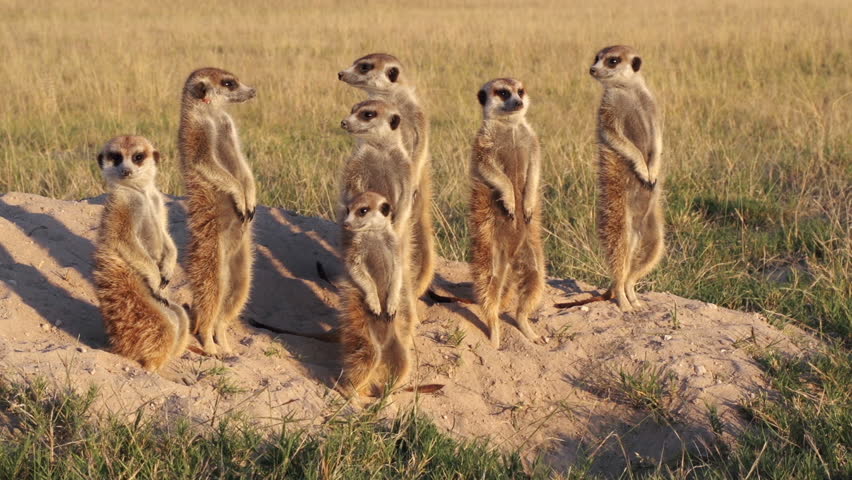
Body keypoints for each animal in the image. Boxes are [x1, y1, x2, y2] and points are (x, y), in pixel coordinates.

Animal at [92, 135, 190, 371]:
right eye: (116, 157)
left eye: (137, 156)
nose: (126, 170)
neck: (140, 192)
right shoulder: (121, 205)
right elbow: (124, 240)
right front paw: (155, 276)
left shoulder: (158, 201)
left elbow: (165, 234)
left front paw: (168, 267)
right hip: (134, 303)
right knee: (162, 329)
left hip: (171, 309)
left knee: (181, 316)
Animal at [178, 67, 257, 356]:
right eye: (228, 83)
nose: (253, 91)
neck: (212, 115)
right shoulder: (195, 134)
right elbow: (206, 163)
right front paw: (239, 195)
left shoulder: (229, 128)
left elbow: (244, 167)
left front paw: (250, 198)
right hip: (211, 257)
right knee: (210, 299)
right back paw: (210, 345)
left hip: (243, 268)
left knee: (235, 296)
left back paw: (224, 342)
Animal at [469, 78, 545, 349]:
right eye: (503, 93)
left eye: (520, 91)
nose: (519, 101)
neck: (510, 129)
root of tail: (511, 260)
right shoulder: (481, 145)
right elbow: (490, 170)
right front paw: (511, 201)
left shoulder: (533, 142)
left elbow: (535, 169)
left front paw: (527, 204)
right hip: (490, 255)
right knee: (488, 290)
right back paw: (494, 334)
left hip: (532, 256)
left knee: (534, 283)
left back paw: (527, 328)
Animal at [555, 45, 664, 312]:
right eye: (596, 58)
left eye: (612, 61)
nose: (592, 69)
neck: (627, 91)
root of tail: (635, 231)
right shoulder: (607, 112)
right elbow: (615, 136)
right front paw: (643, 168)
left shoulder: (653, 108)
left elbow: (657, 139)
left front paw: (653, 170)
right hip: (617, 220)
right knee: (618, 263)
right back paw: (624, 301)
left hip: (653, 232)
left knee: (648, 256)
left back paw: (634, 297)